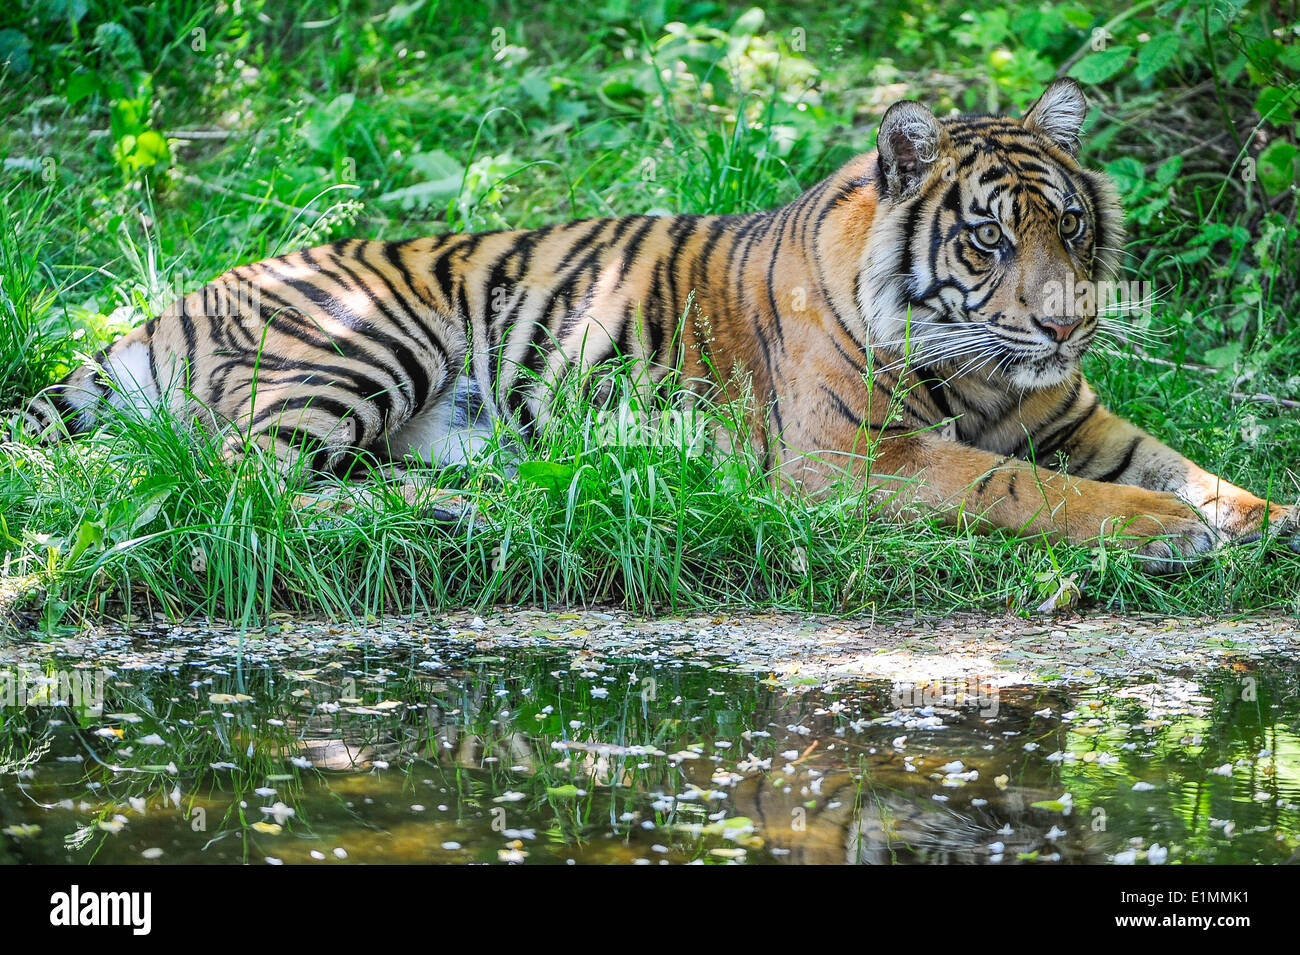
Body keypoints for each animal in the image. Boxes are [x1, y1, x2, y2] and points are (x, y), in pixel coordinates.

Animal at [10, 78, 1297, 571]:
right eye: (986, 241)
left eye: (1070, 227)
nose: (1067, 329)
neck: (983, 369)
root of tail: (183, 296)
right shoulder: (855, 459)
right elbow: (1033, 489)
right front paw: (1167, 532)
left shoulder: (1077, 417)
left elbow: (1181, 463)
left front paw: (1262, 518)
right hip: (368, 340)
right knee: (241, 489)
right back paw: (437, 513)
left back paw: (465, 502)